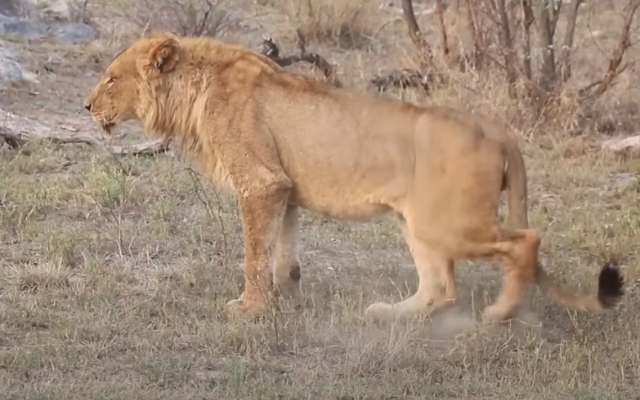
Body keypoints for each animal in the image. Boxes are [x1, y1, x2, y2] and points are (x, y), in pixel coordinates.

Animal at [83, 31, 624, 324]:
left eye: (111, 78)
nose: (86, 107)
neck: (193, 91)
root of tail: (498, 130)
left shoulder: (260, 183)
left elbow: (253, 254)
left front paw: (250, 307)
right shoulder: (283, 188)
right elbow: (283, 249)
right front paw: (287, 294)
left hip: (448, 222)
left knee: (525, 242)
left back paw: (498, 314)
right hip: (418, 223)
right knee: (440, 287)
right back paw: (389, 313)